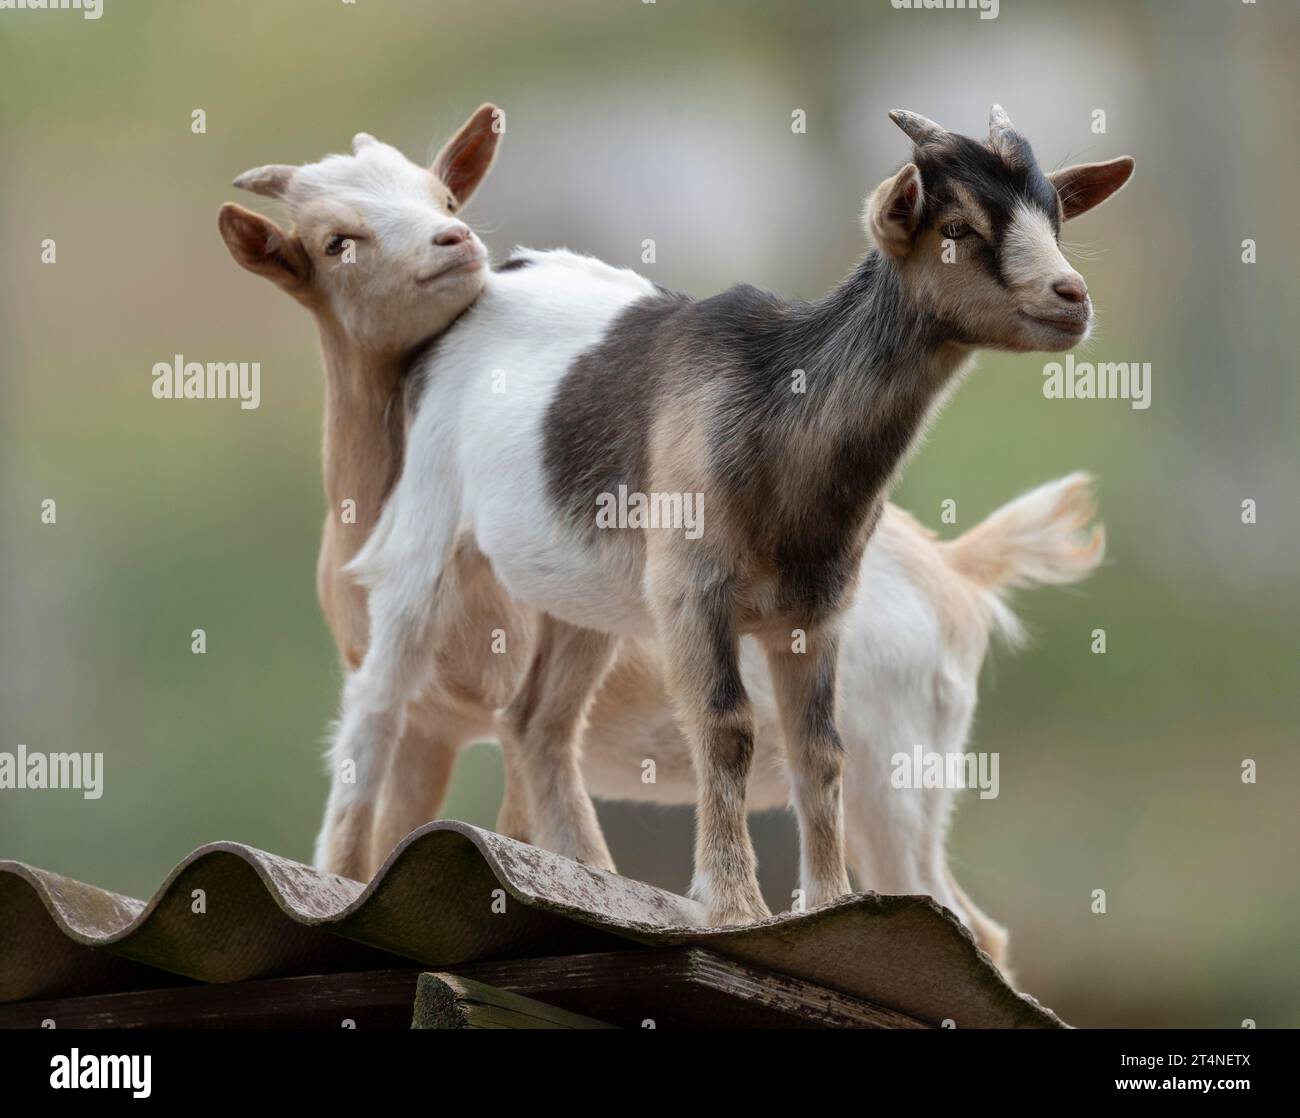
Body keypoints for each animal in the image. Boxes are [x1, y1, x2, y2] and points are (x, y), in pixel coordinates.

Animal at [217, 106, 1118, 939]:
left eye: (1055, 218)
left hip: (593, 602)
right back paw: (346, 874)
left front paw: (828, 904)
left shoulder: (817, 613)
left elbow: (819, 750)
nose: (1073, 299)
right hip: (429, 543)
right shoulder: (692, 588)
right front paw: (733, 905)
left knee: (539, 724)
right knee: (377, 709)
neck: (775, 403)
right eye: (956, 228)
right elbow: (726, 729)